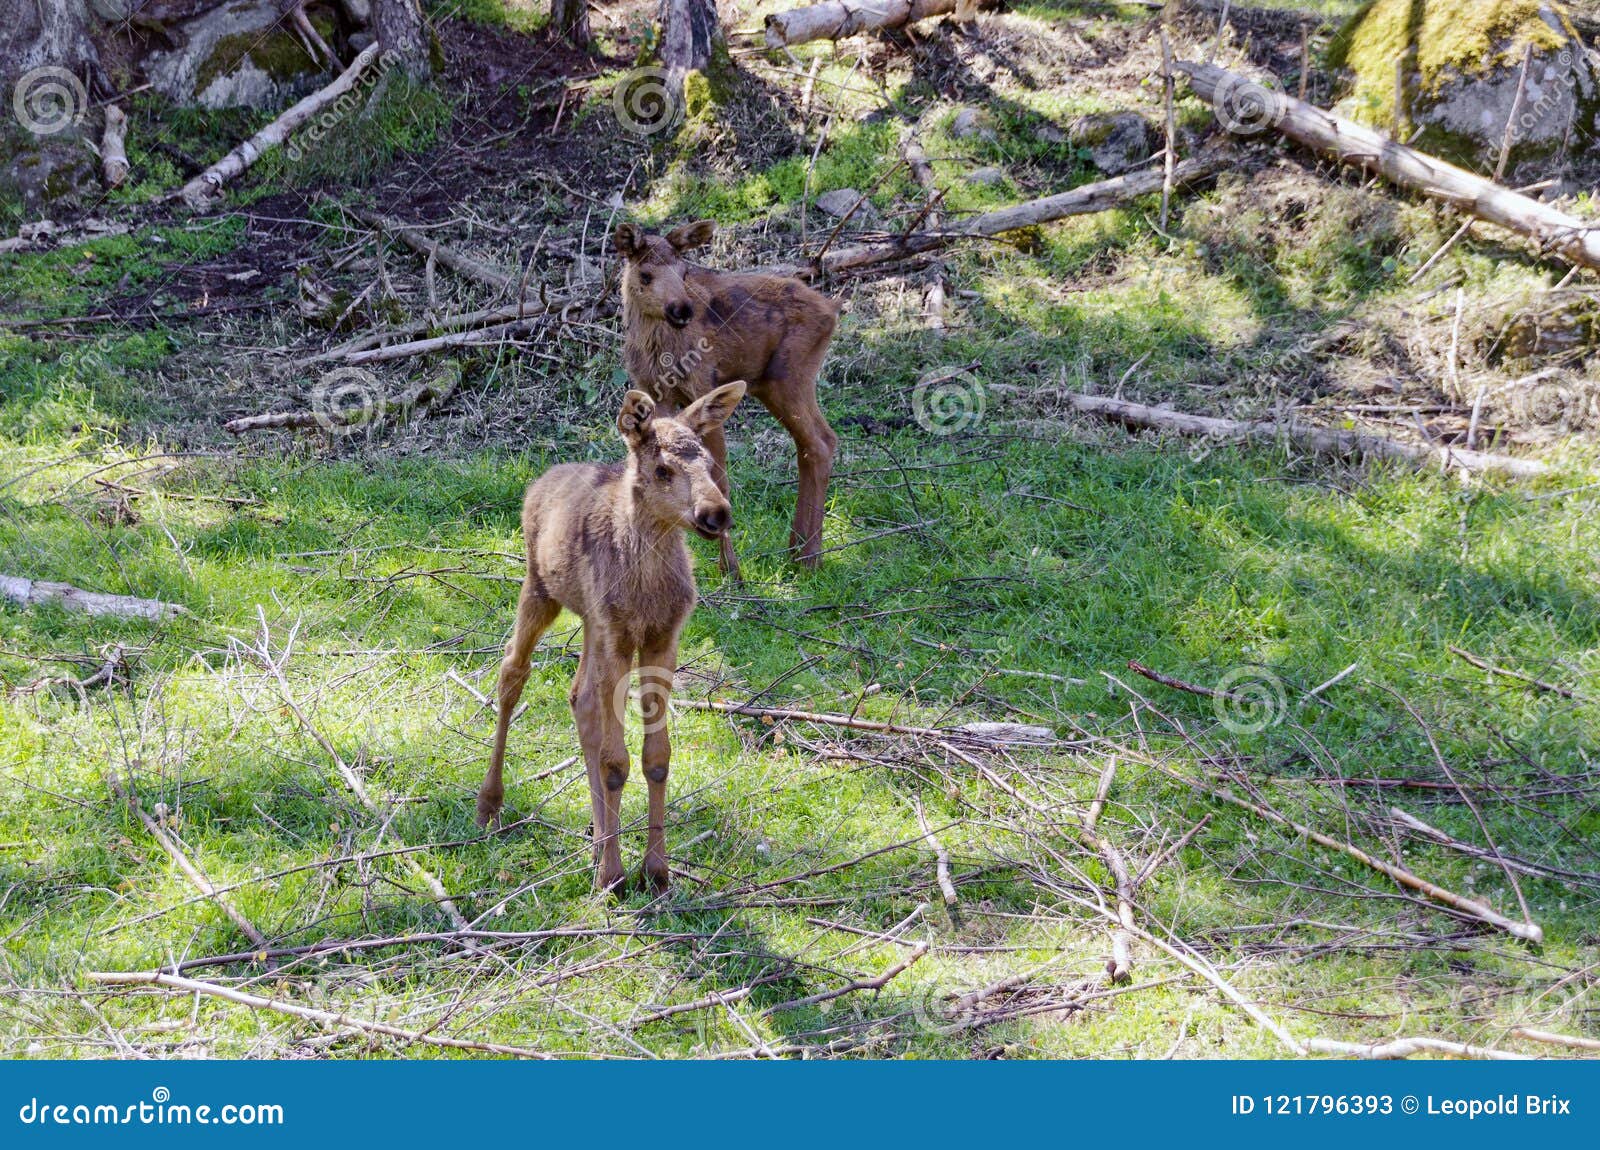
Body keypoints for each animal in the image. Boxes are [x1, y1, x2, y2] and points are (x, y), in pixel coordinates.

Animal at [476, 382, 747, 893]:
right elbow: (616, 762)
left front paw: (655, 870)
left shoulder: (660, 638)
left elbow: (656, 756)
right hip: (541, 590)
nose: (716, 513)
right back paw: (489, 805)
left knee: (579, 698)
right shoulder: (619, 637)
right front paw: (615, 874)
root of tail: (543, 478)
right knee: (511, 674)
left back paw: (598, 836)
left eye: (708, 462)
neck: (648, 588)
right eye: (662, 469)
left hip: (591, 623)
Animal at [613, 219, 840, 577]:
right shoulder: (654, 390)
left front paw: (731, 571)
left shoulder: (704, 384)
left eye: (684, 272)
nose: (681, 310)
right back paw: (798, 549)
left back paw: (807, 556)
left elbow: (720, 478)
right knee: (814, 443)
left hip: (789, 377)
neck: (659, 351)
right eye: (645, 274)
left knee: (820, 442)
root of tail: (833, 310)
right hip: (772, 385)